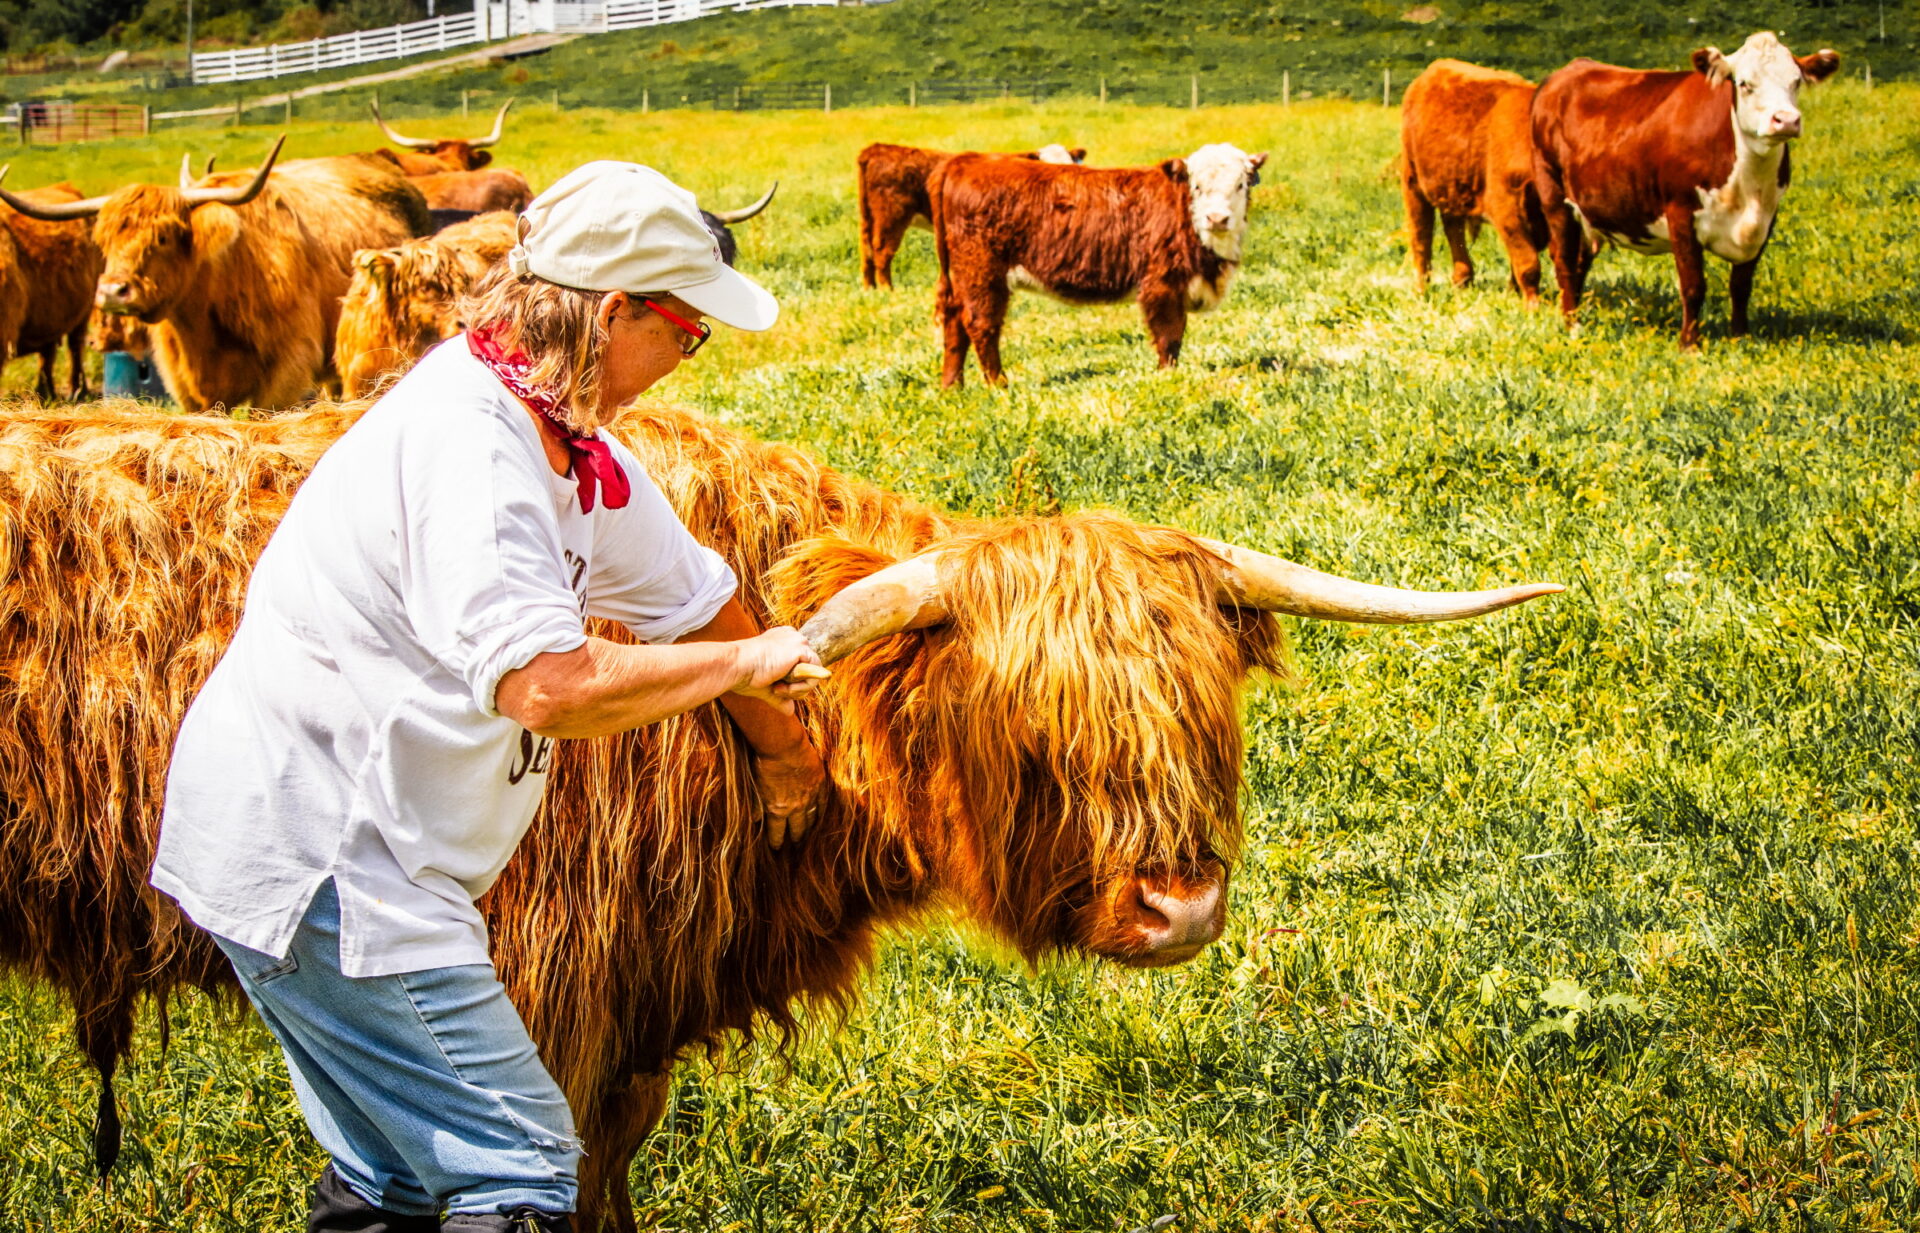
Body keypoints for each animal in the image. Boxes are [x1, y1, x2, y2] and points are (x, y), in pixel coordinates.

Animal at [856, 142, 1086, 289]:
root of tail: (877, 149)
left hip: (868, 219)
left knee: (867, 251)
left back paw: (870, 290)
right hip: (892, 217)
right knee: (882, 252)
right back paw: (888, 291)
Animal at [930, 144, 1267, 388]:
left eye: (1240, 185)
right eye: (1196, 186)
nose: (1217, 218)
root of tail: (967, 160)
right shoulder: (1162, 286)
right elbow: (1169, 337)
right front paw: (1168, 378)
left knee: (955, 322)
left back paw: (953, 386)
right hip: (982, 272)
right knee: (981, 323)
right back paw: (998, 385)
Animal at [1399, 59, 1550, 306]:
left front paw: (1512, 295)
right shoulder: (1507, 209)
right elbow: (1528, 264)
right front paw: (1532, 305)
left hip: (1452, 186)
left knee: (1453, 229)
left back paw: (1462, 280)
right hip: (1413, 182)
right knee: (1421, 238)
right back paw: (1421, 290)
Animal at [1531, 32, 1840, 348]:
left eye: (1796, 81)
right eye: (1744, 83)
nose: (1786, 120)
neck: (1748, 188)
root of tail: (1569, 70)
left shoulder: (1765, 218)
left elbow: (1741, 286)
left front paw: (1740, 337)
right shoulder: (1680, 211)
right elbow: (1693, 286)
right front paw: (1690, 344)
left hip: (1589, 209)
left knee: (1580, 260)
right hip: (1552, 192)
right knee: (1564, 260)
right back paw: (1572, 325)